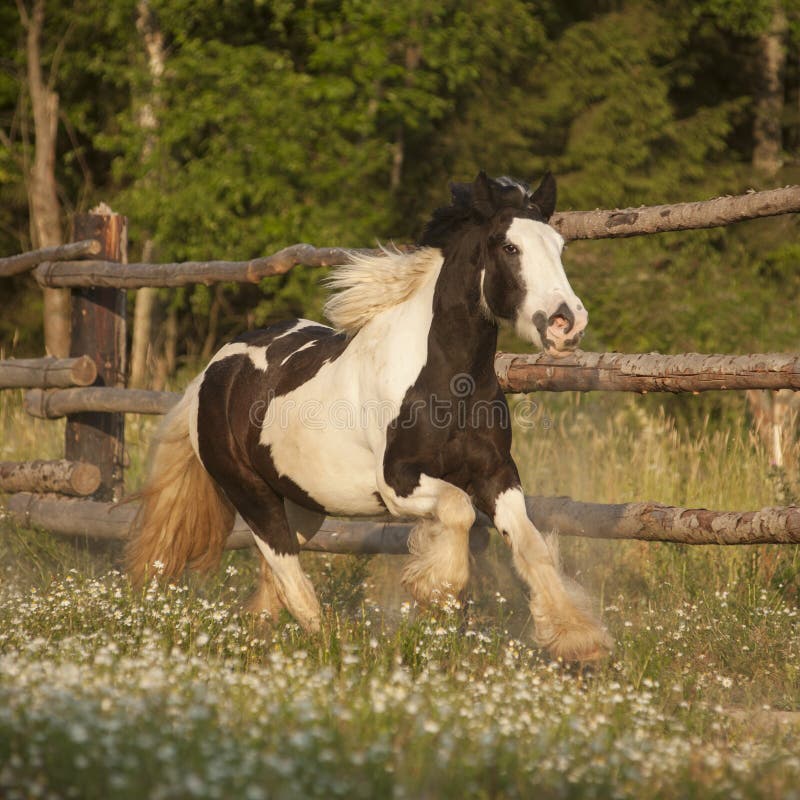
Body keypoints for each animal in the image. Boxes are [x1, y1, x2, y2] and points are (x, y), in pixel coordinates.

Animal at [126, 172, 613, 662]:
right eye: (509, 246)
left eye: (559, 246)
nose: (566, 323)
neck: (448, 381)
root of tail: (210, 374)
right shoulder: (398, 482)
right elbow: (459, 512)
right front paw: (435, 590)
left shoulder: (497, 474)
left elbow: (531, 546)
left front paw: (579, 640)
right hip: (251, 495)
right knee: (290, 577)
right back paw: (332, 648)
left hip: (303, 505)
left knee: (274, 577)